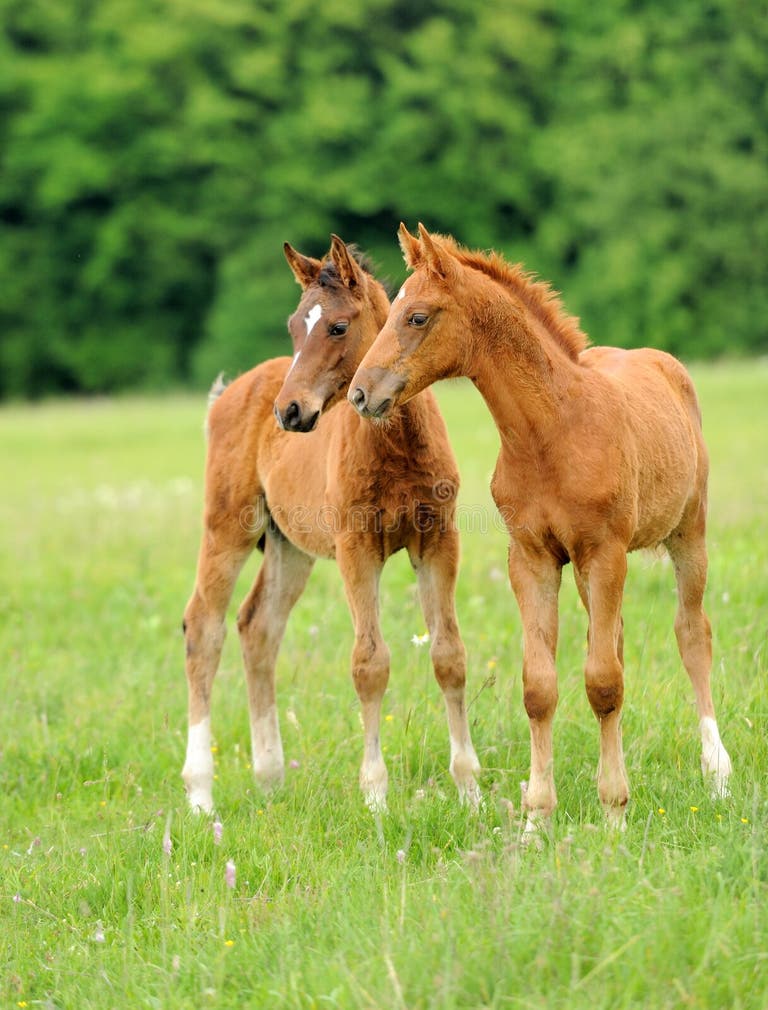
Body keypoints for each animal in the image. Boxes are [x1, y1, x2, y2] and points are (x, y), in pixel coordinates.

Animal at [181, 234, 480, 814]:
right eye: (295, 327)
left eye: (338, 327)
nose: (290, 412)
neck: (395, 446)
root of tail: (229, 394)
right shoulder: (356, 547)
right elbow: (370, 663)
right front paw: (376, 798)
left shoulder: (438, 540)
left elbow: (449, 655)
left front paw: (471, 792)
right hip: (228, 527)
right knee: (204, 626)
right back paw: (201, 795)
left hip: (287, 545)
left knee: (257, 627)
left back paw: (270, 779)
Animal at [348, 222, 732, 832]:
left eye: (417, 316)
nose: (361, 394)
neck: (552, 432)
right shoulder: (532, 558)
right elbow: (541, 687)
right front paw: (536, 819)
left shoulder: (605, 552)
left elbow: (602, 682)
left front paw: (614, 813)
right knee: (616, 643)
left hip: (687, 535)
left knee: (692, 636)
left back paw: (716, 773)